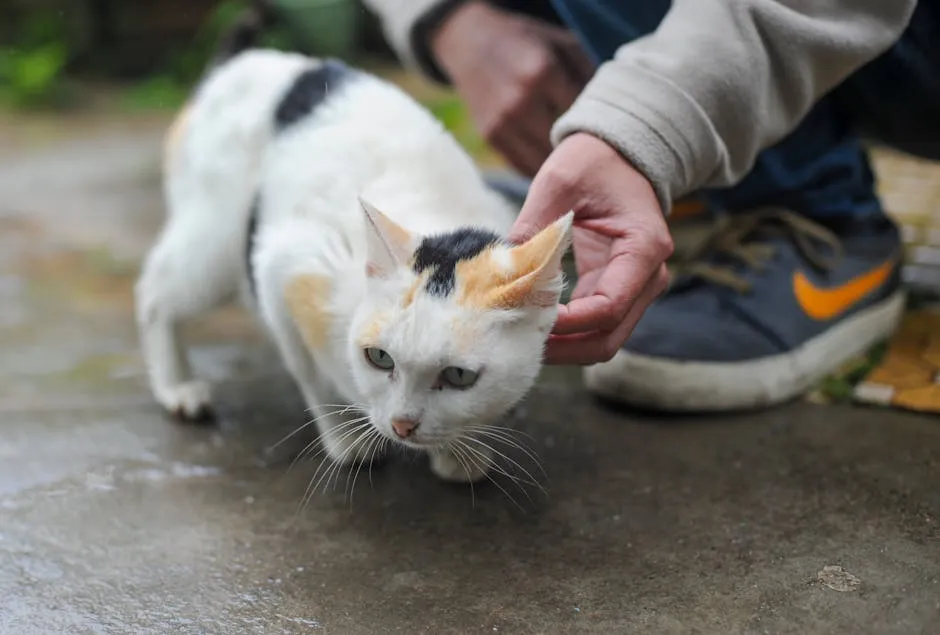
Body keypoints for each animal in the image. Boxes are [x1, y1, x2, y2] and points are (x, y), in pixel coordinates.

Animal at [134, 24, 572, 484]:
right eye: (379, 358)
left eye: (458, 376)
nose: (402, 424)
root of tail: (237, 62)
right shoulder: (284, 270)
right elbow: (311, 375)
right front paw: (348, 441)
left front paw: (462, 453)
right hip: (215, 240)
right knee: (156, 292)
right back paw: (177, 388)